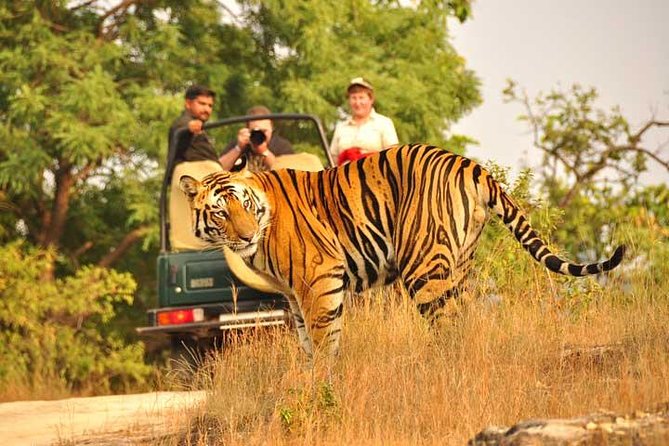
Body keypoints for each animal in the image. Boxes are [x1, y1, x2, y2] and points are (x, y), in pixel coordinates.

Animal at [179, 144, 625, 358]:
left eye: (244, 204)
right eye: (220, 212)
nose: (245, 236)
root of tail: (470, 164)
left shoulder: (319, 281)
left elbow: (324, 343)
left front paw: (321, 390)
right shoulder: (294, 296)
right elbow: (308, 343)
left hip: (423, 267)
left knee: (448, 327)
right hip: (459, 264)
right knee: (466, 320)